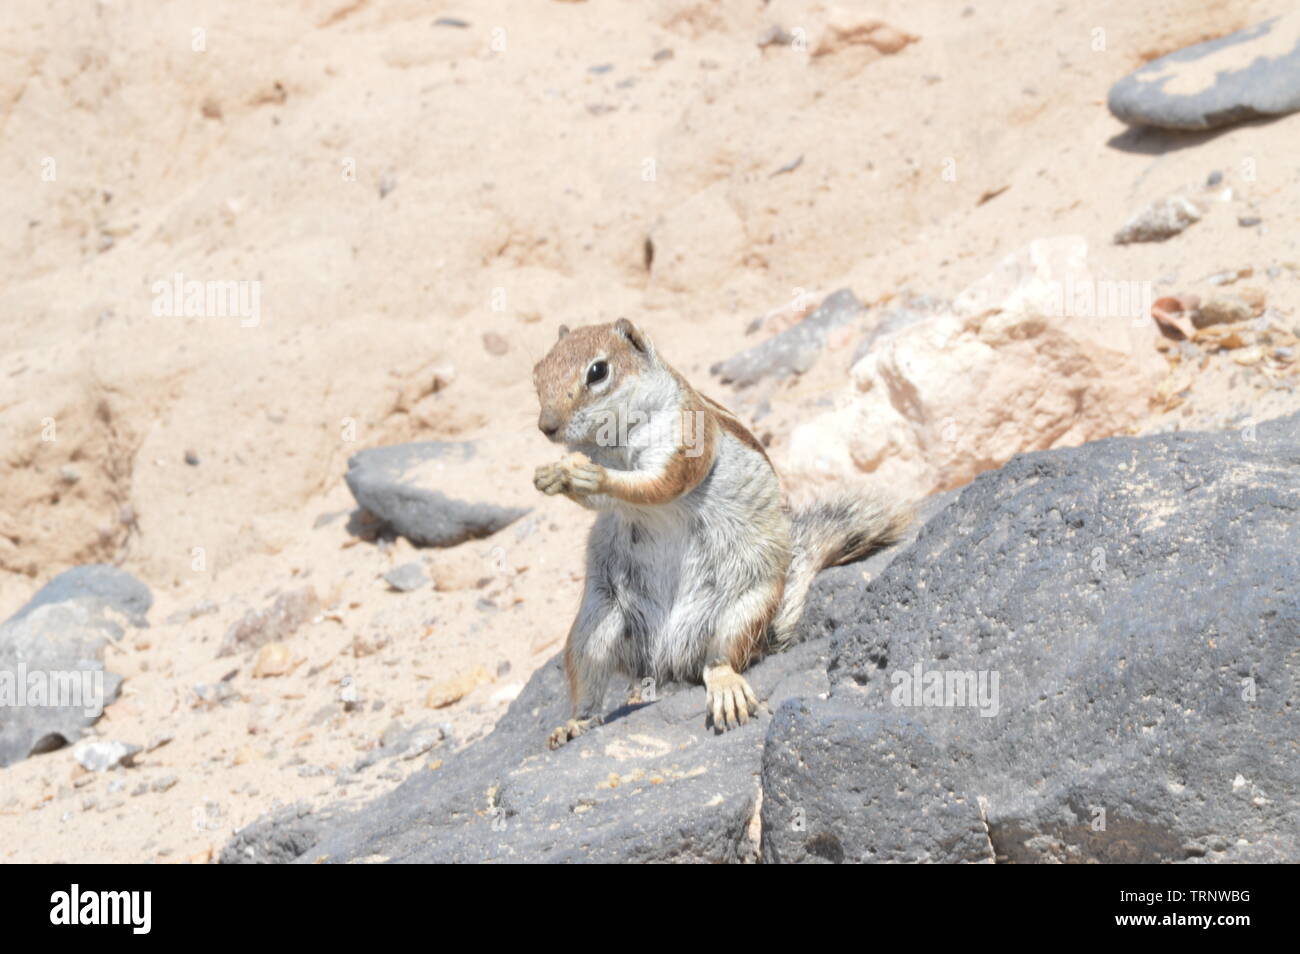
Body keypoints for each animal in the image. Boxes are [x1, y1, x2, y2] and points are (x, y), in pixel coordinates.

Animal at [532, 319, 909, 750]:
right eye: (537, 374)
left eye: (598, 372)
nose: (547, 427)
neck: (613, 442)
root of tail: (672, 660)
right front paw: (554, 476)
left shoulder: (685, 434)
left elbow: (658, 484)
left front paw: (592, 475)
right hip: (595, 622)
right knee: (591, 675)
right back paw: (576, 723)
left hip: (747, 605)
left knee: (721, 660)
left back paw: (725, 685)